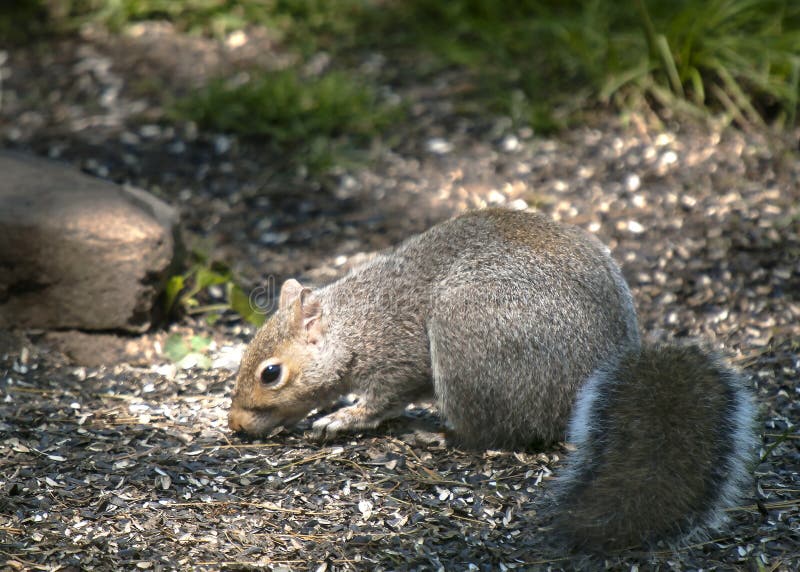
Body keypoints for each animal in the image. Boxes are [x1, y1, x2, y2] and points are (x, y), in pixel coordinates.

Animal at [228, 207, 757, 551]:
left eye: (271, 373)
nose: (235, 425)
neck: (354, 325)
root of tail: (598, 370)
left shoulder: (398, 357)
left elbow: (384, 399)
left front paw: (343, 418)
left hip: (468, 338)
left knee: (488, 433)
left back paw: (433, 435)